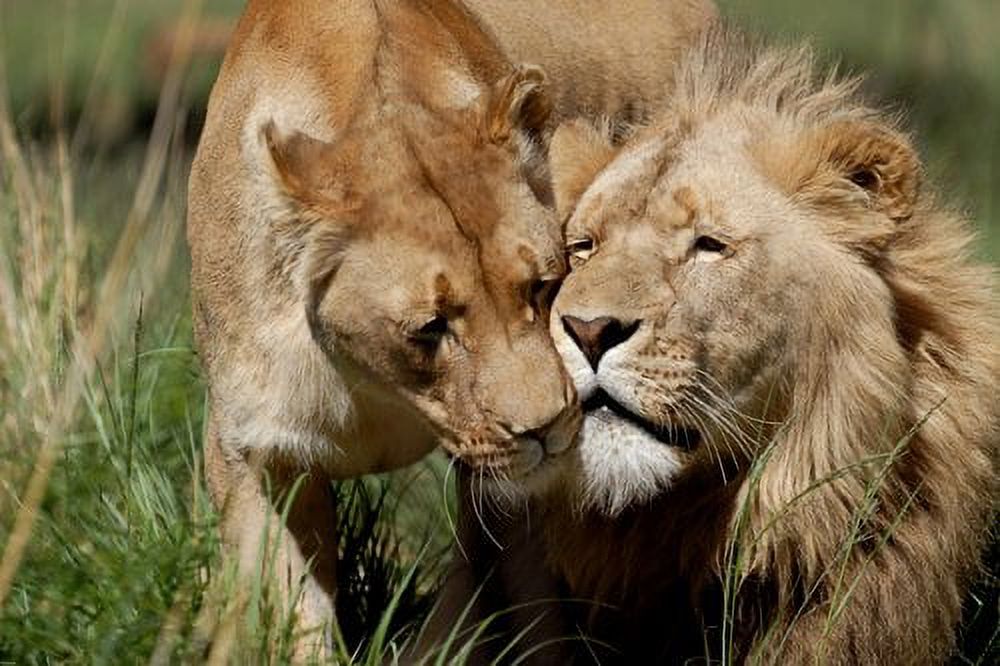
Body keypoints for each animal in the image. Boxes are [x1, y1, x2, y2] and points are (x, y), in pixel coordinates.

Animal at [187, 0, 714, 657]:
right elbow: (286, 613)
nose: (546, 429)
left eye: (541, 286)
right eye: (430, 327)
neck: (376, 384)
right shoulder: (253, 453)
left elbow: (512, 612)